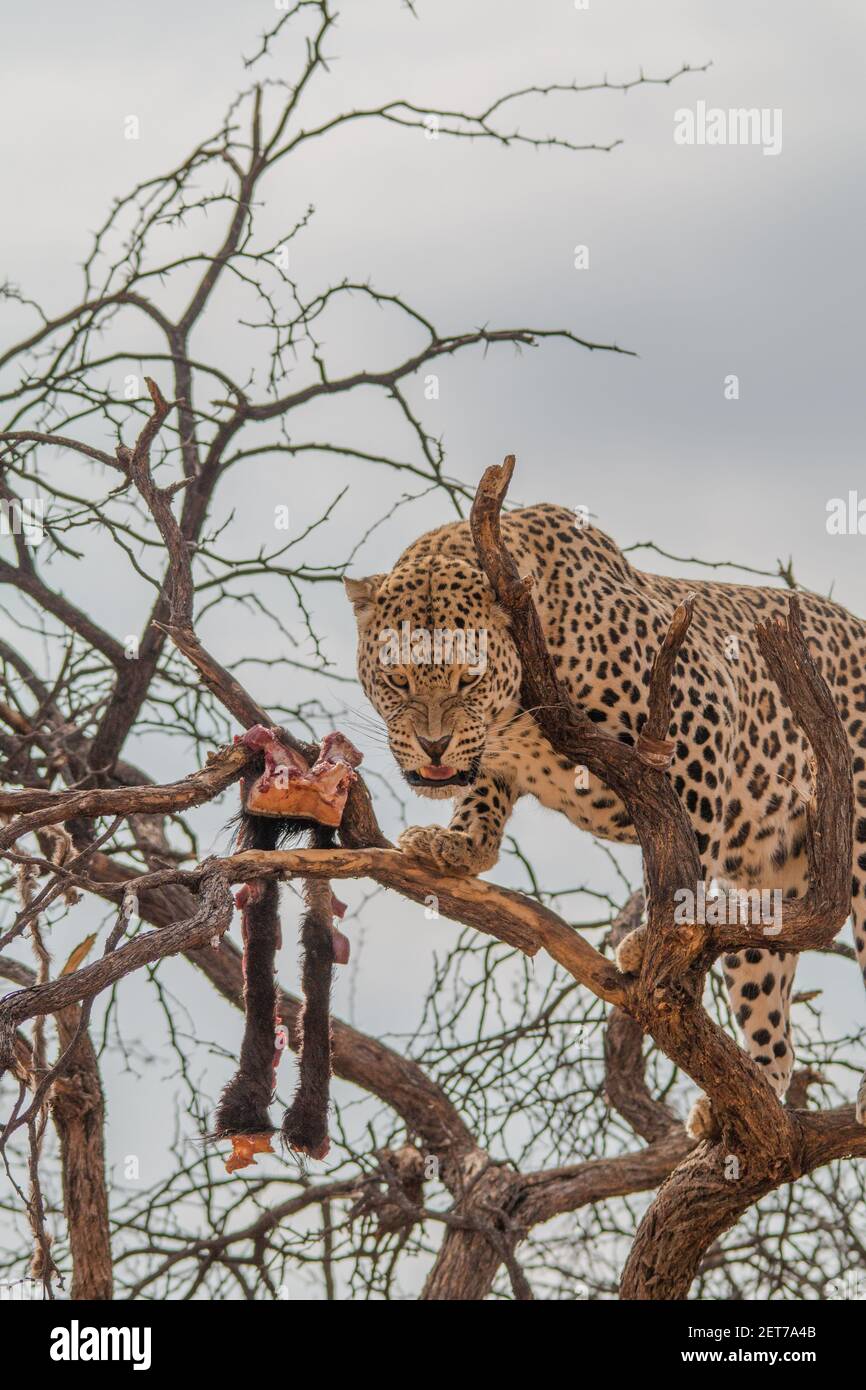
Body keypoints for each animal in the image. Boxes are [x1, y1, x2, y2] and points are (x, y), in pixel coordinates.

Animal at [345, 503, 866, 1135]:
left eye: (469, 677)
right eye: (397, 680)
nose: (433, 746)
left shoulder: (700, 713)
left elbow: (686, 837)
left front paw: (657, 934)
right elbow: (484, 789)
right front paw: (457, 842)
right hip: (767, 878)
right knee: (771, 1014)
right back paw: (745, 1105)